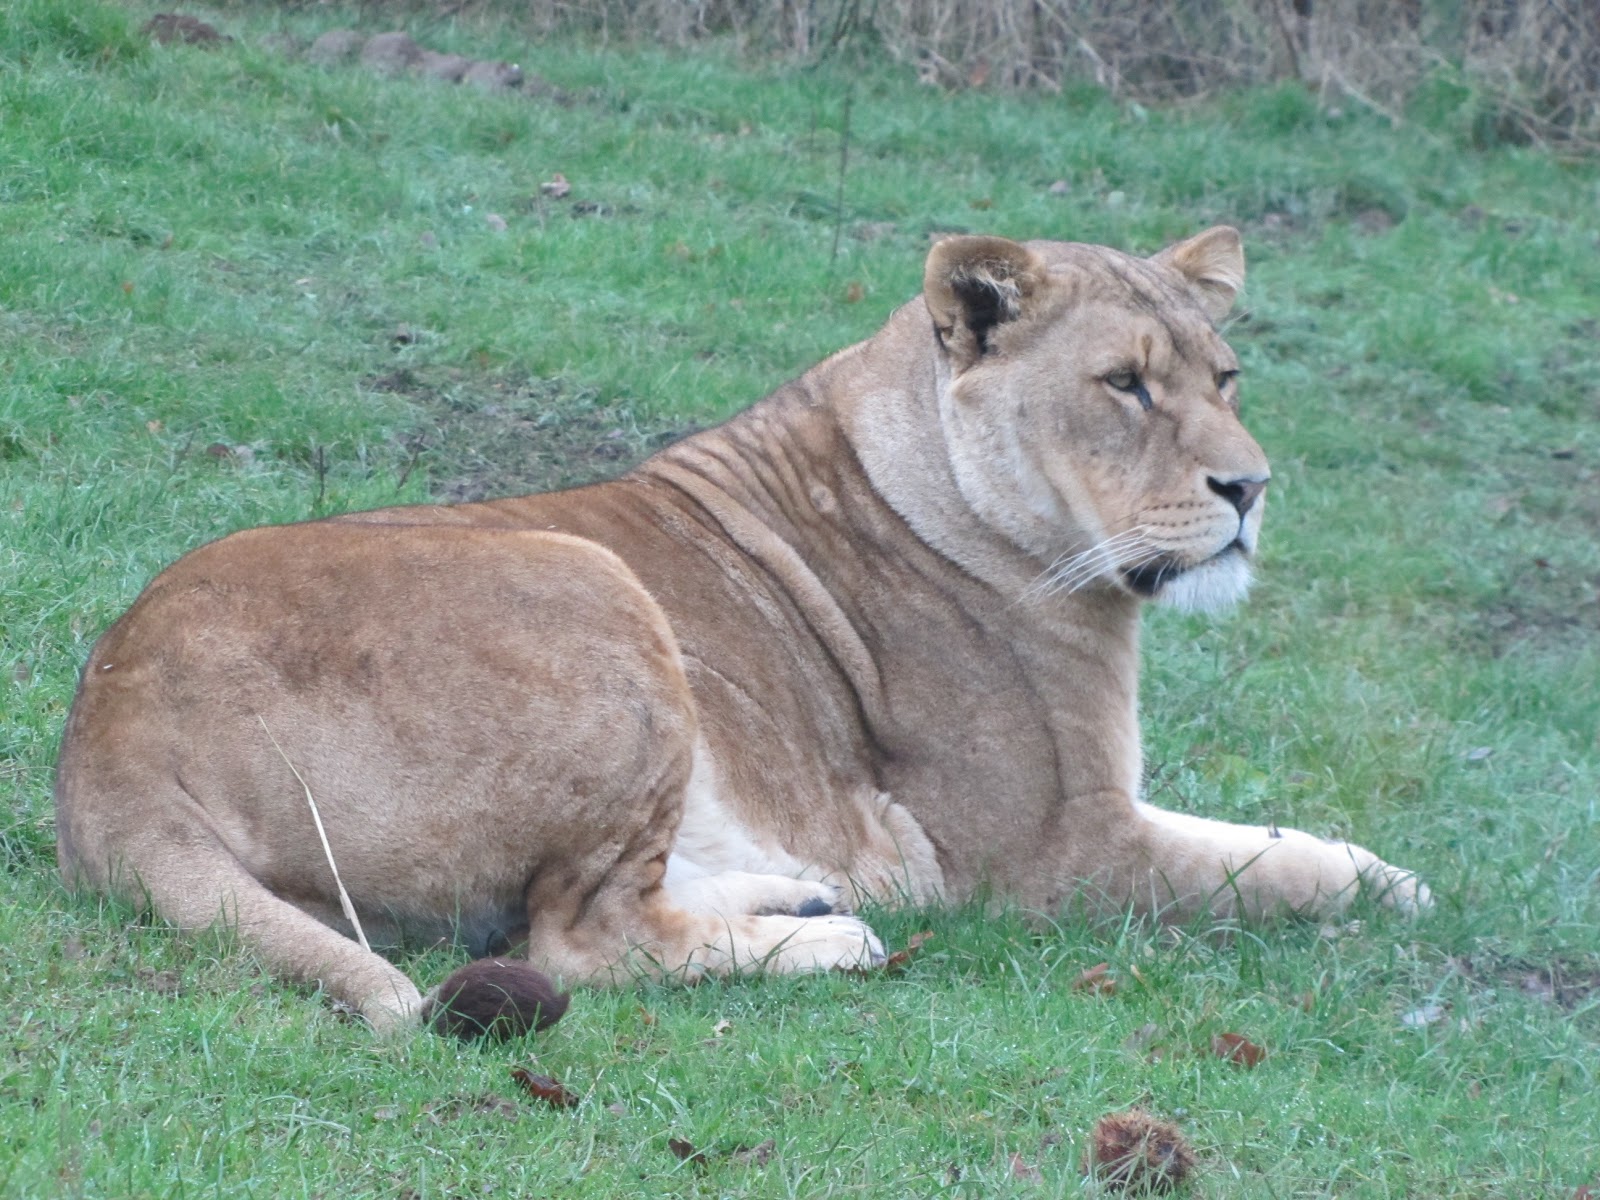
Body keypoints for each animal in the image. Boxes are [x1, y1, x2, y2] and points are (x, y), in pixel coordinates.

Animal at [54, 228, 1428, 1033]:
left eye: (1224, 378)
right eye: (1125, 384)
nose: (1249, 489)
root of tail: (108, 741)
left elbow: (1268, 834)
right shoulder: (1056, 854)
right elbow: (1268, 869)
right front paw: (1402, 889)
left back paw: (800, 894)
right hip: (597, 582)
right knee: (585, 943)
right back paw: (835, 938)